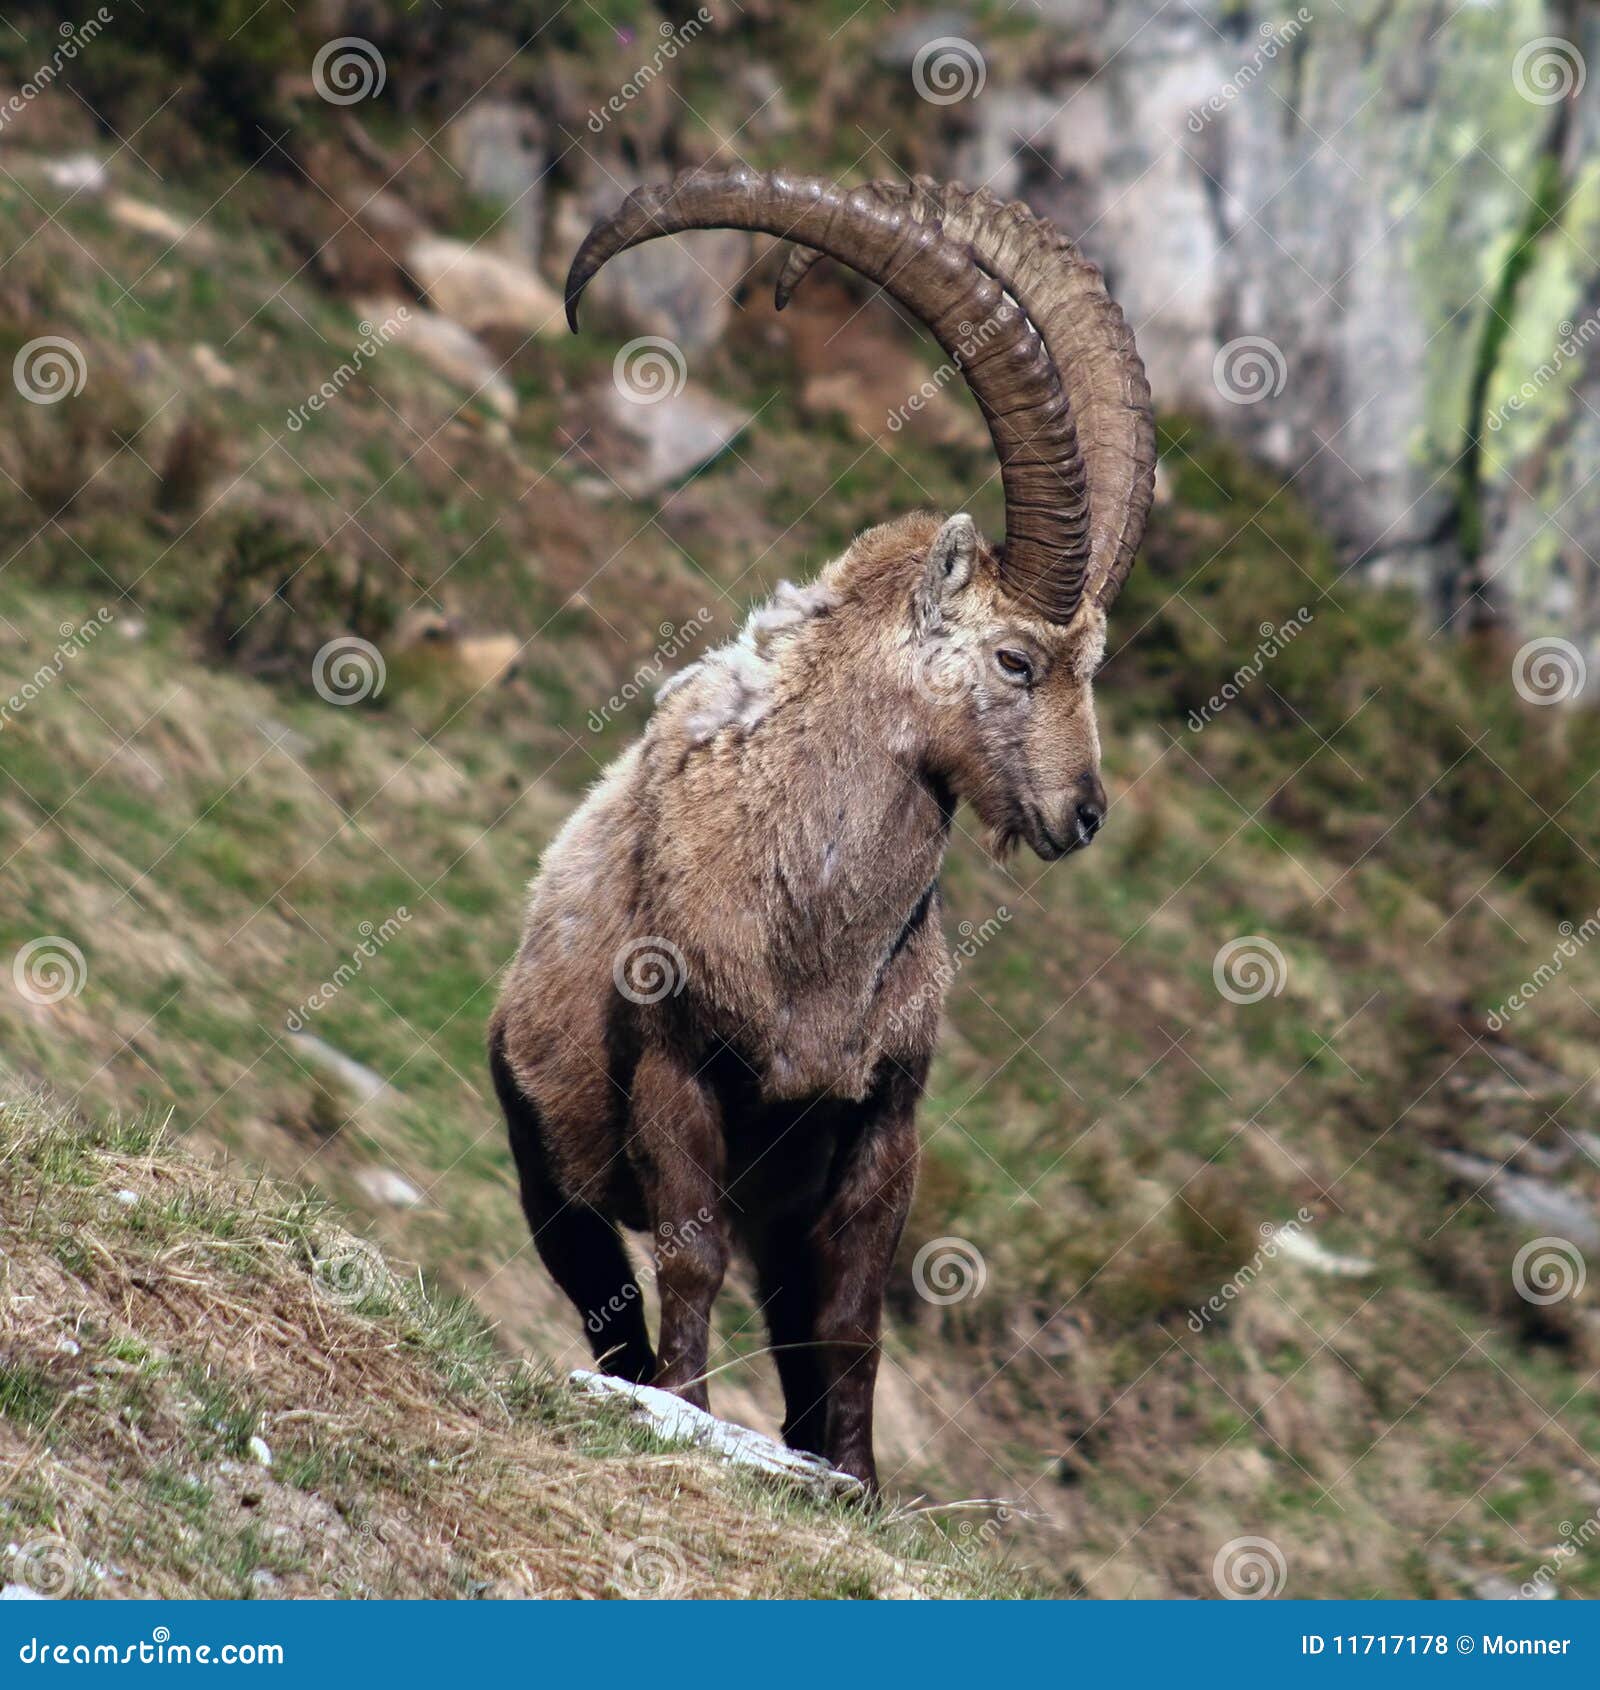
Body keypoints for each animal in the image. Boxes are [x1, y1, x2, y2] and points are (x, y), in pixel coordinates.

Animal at [490, 169, 1154, 1491]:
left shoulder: (877, 1119)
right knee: (608, 1297)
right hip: (553, 1172)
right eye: (1016, 659)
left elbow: (849, 1319)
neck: (814, 941)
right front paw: (689, 1412)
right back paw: (643, 1383)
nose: (1080, 813)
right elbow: (689, 1254)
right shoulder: (677, 1063)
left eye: (1092, 666)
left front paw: (856, 1485)